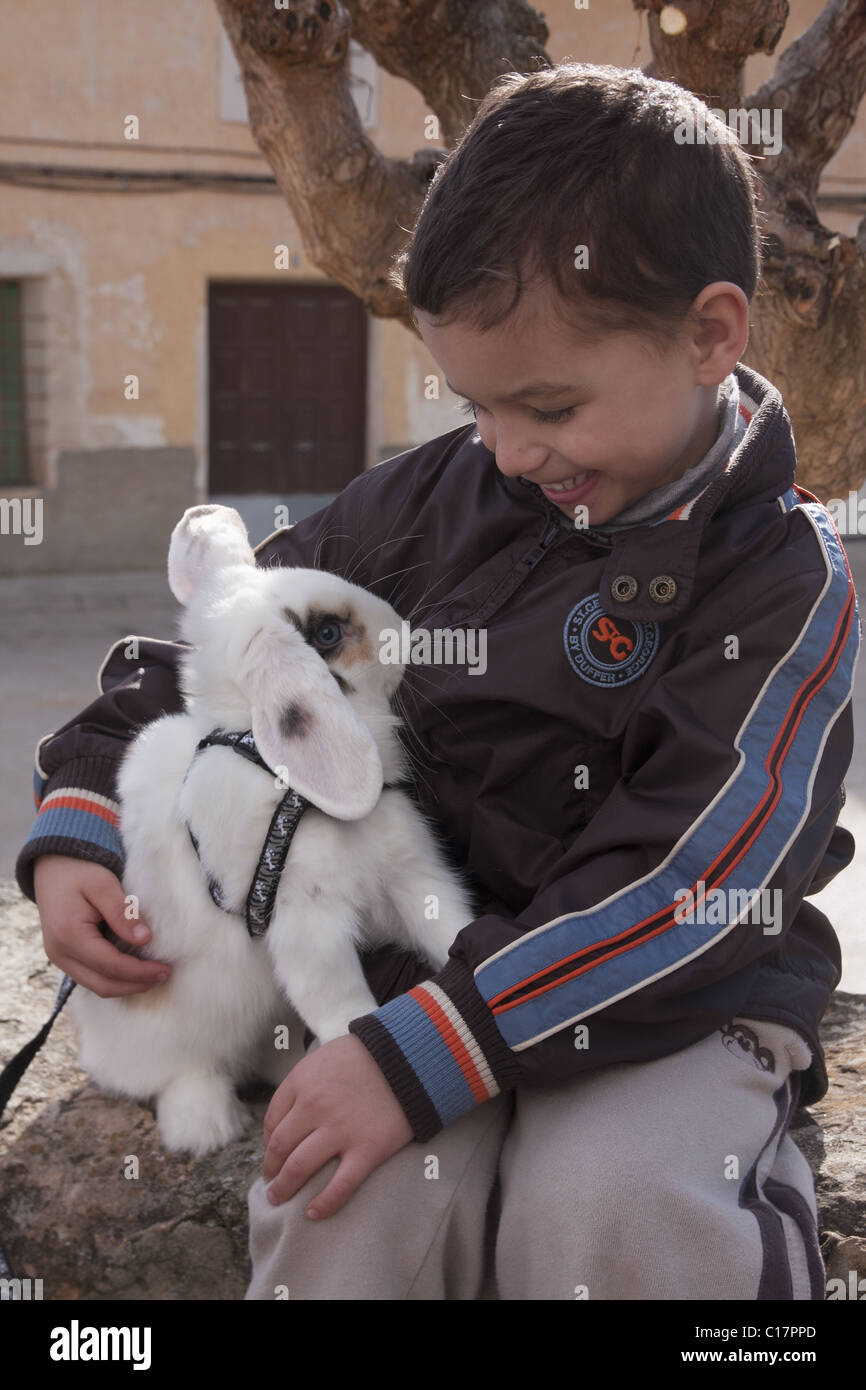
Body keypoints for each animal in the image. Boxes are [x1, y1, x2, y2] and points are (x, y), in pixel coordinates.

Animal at [68, 503, 475, 1155]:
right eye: (328, 636)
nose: (405, 629)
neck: (289, 788)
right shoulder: (306, 925)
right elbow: (339, 1004)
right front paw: (347, 1065)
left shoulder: (414, 879)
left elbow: (449, 928)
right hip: (163, 1035)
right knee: (178, 1073)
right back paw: (205, 1127)